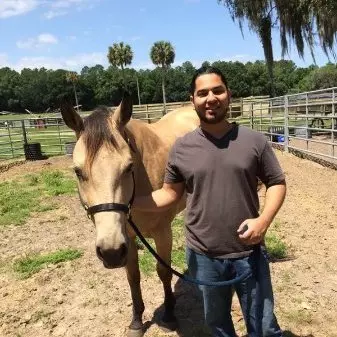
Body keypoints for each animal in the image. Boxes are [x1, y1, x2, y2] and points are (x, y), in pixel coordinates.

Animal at [59, 94, 200, 336]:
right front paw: (136, 321)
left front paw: (170, 315)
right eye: (78, 172)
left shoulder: (163, 233)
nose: (110, 252)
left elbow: (163, 271)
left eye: (128, 167)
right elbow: (133, 276)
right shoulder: (127, 238)